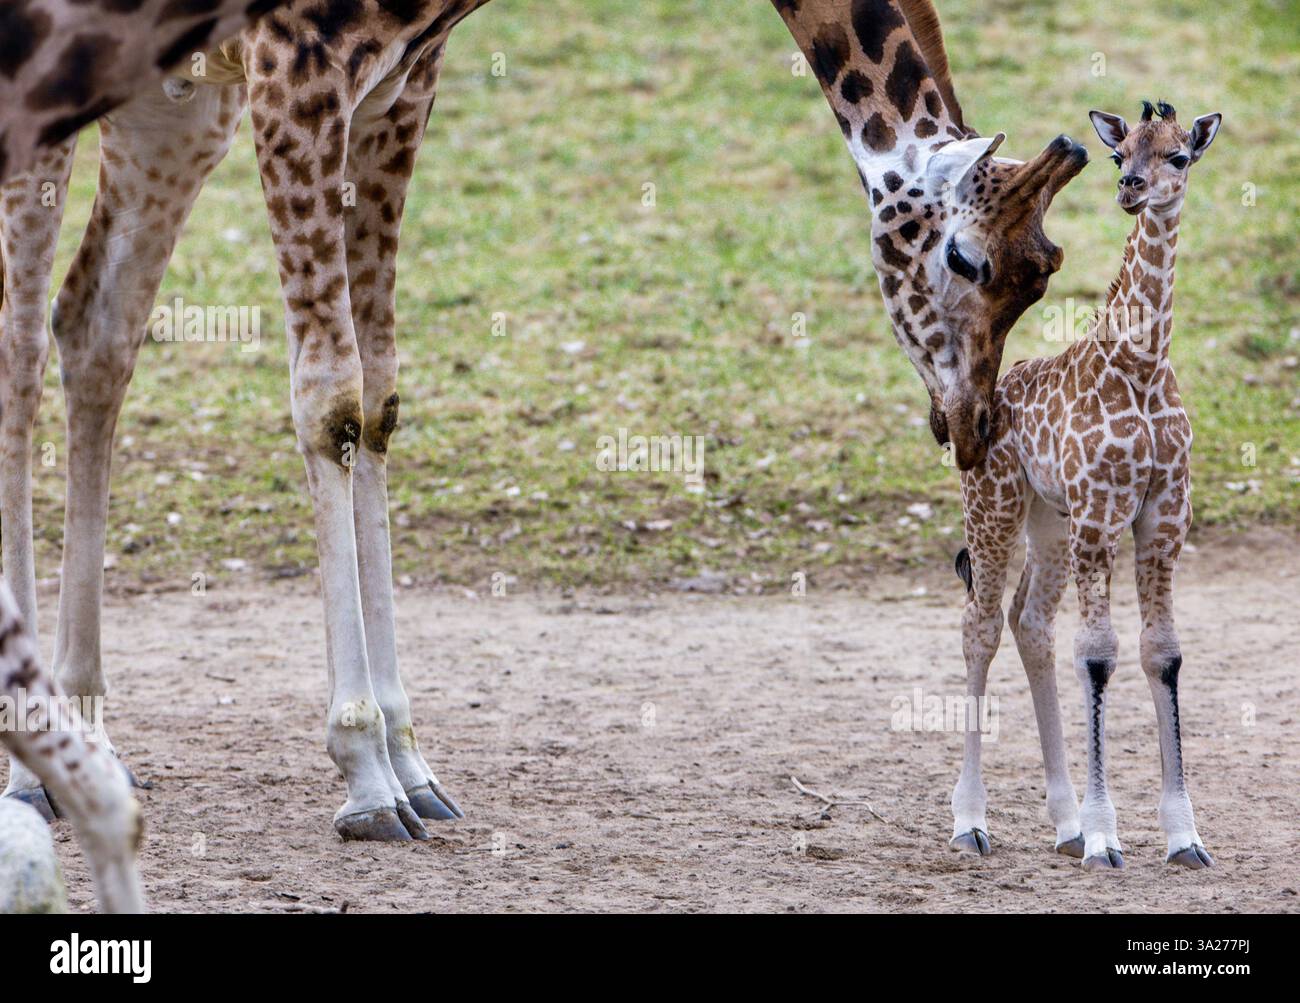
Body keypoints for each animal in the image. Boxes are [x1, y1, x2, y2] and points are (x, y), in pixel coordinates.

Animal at [951, 100, 1221, 869]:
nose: (1132, 187)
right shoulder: (1104, 509)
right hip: (996, 505)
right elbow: (1097, 653)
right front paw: (1107, 836)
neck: (1139, 363)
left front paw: (1183, 837)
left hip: (1051, 521)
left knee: (1029, 622)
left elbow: (1163, 652)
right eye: (1119, 154)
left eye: (1179, 156)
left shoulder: (1163, 513)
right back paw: (971, 823)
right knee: (980, 625)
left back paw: (1064, 823)